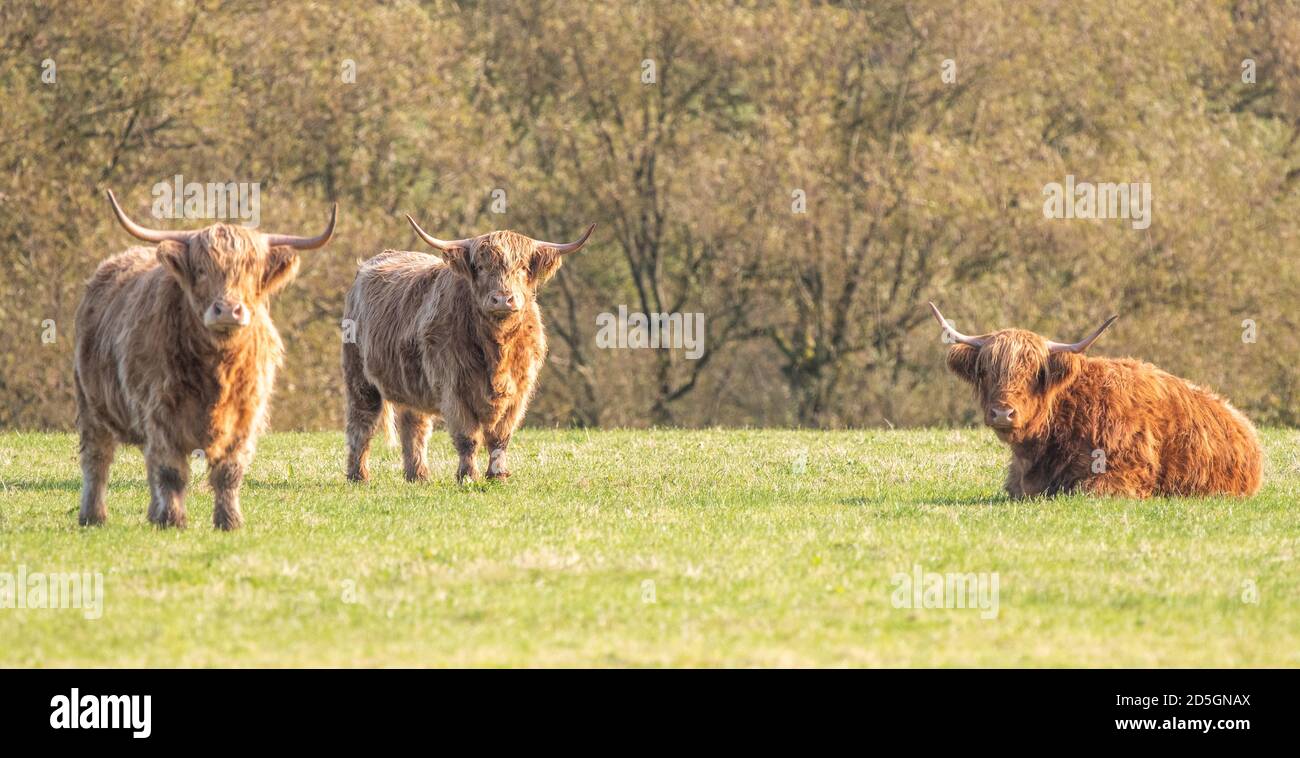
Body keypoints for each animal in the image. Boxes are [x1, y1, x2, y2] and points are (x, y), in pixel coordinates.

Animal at [74, 190, 337, 529]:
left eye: (250, 272)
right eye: (200, 271)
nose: (227, 310)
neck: (217, 369)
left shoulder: (246, 414)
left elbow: (229, 472)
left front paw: (229, 521)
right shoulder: (160, 412)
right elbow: (171, 472)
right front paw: (174, 521)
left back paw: (151, 513)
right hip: (91, 404)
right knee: (98, 458)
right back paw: (93, 516)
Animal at [342, 216, 593, 484]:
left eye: (524, 268)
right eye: (481, 268)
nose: (502, 299)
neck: (497, 350)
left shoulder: (519, 390)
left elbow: (500, 437)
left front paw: (498, 475)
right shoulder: (453, 387)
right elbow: (468, 437)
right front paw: (468, 476)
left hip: (411, 385)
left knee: (414, 426)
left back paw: (418, 476)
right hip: (358, 375)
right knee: (361, 423)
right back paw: (359, 476)